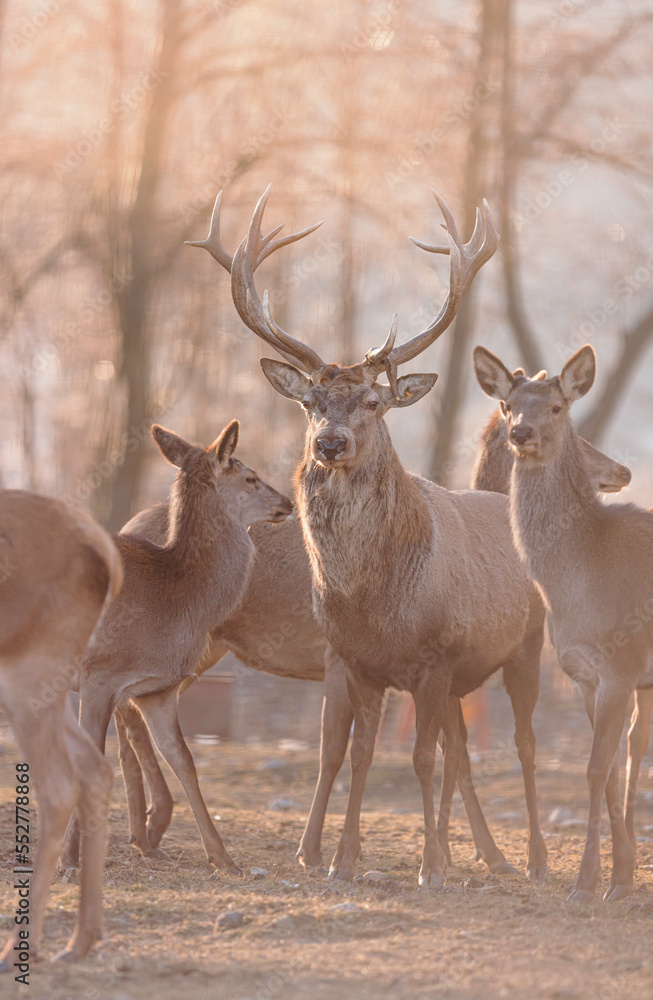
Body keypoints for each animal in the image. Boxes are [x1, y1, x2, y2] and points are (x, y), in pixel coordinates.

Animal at [0, 491, 122, 971]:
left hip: (28, 678)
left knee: (58, 787)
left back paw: (19, 948)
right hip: (50, 690)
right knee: (97, 770)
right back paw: (82, 938)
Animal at [60, 420, 293, 875]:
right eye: (251, 477)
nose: (288, 502)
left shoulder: (157, 690)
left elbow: (184, 759)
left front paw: (224, 858)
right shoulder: (98, 674)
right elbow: (92, 760)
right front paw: (69, 859)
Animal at [473, 343, 653, 901]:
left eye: (557, 407)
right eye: (509, 405)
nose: (521, 433)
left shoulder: (622, 665)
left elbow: (595, 769)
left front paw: (588, 883)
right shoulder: (583, 675)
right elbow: (608, 770)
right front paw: (618, 876)